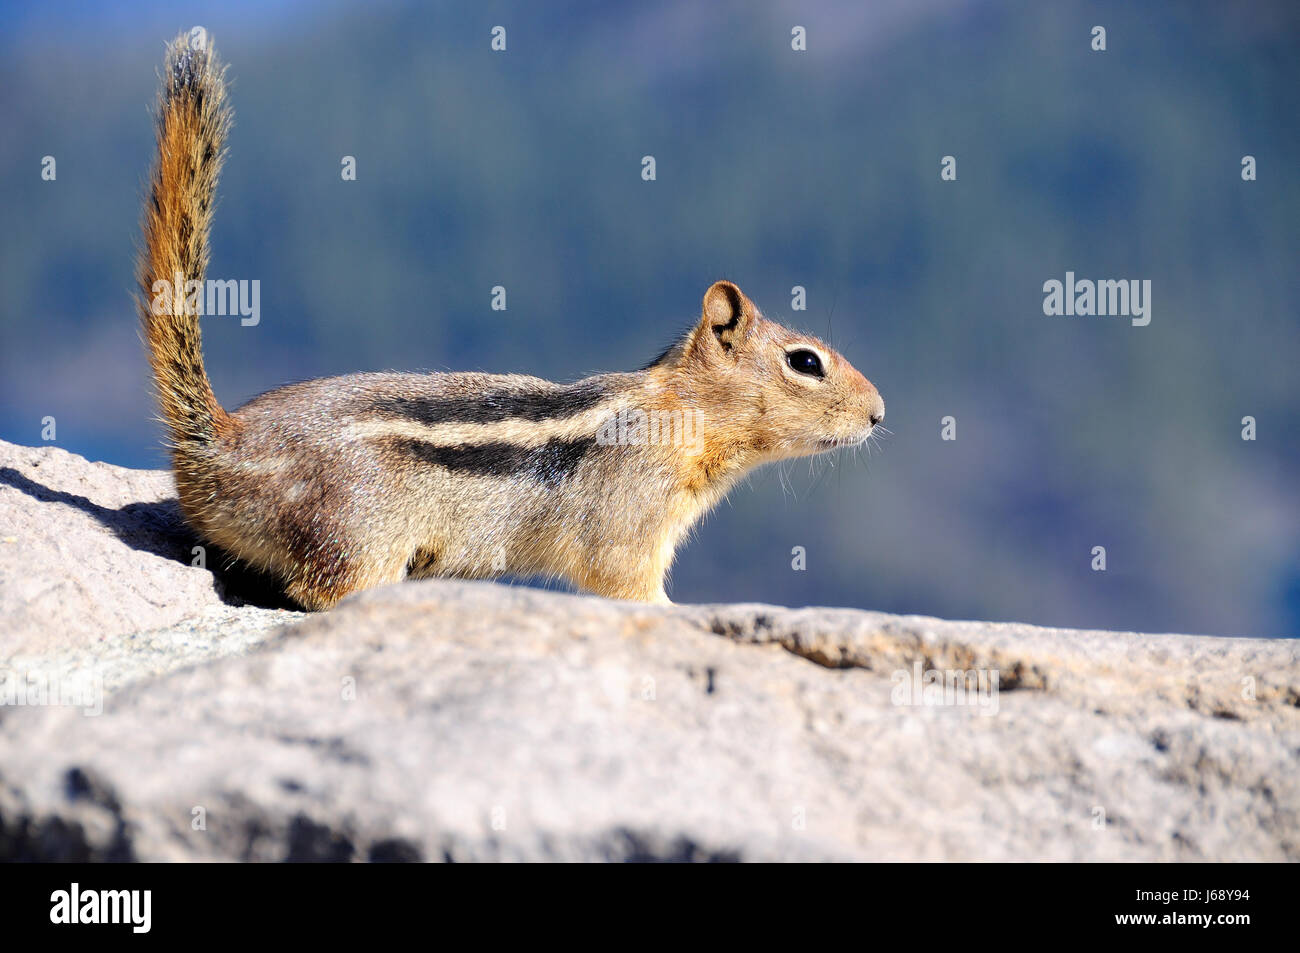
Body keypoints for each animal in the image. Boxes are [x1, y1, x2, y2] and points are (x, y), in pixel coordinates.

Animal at [137, 32, 885, 610]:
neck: (681, 408)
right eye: (806, 361)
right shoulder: (630, 524)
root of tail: (219, 445)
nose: (880, 413)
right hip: (354, 533)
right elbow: (628, 585)